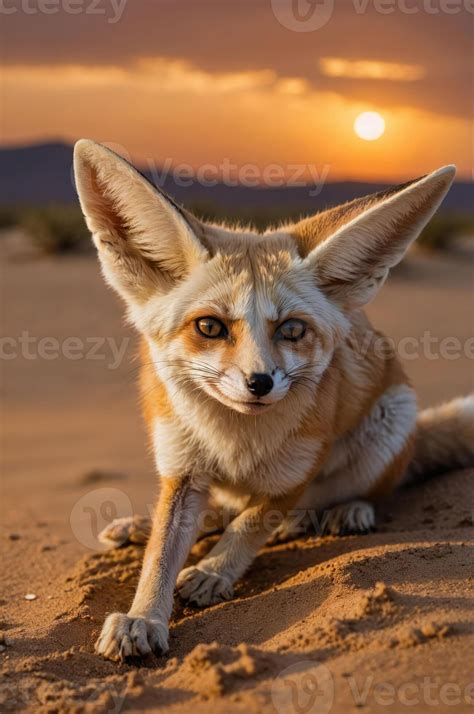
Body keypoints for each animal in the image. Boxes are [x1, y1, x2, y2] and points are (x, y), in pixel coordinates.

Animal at [73, 140, 474, 663]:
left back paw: (343, 512)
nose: (260, 382)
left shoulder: (296, 471)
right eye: (209, 327)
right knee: (215, 512)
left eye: (292, 329)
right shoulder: (182, 469)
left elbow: (252, 522)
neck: (234, 440)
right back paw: (142, 525)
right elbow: (163, 551)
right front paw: (143, 616)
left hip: (391, 422)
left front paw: (213, 571)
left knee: (350, 493)